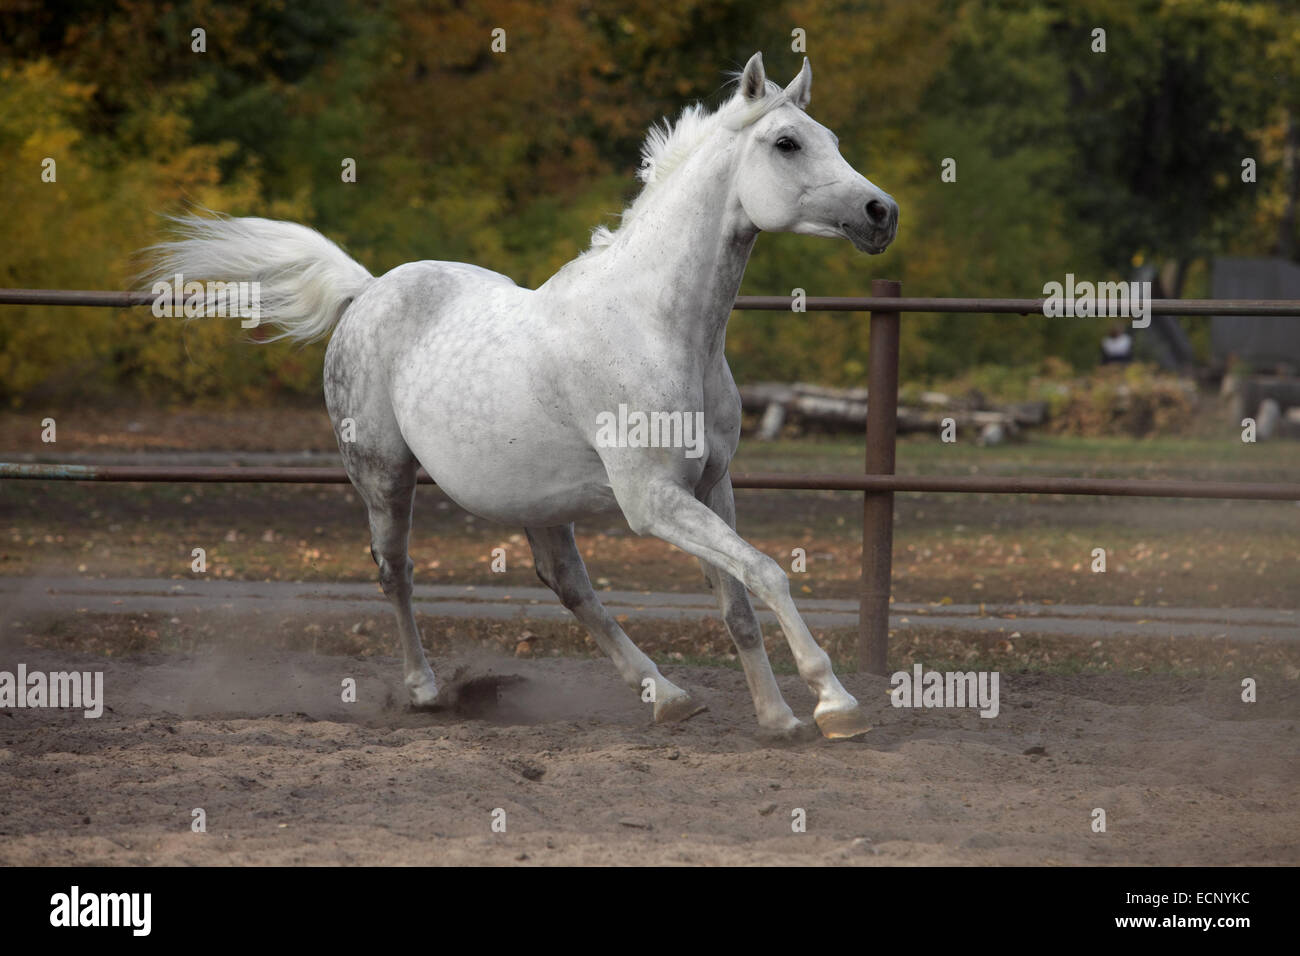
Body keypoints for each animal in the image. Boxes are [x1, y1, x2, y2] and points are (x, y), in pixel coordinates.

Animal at [147, 52, 898, 739]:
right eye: (787, 142)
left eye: (831, 137)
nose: (881, 212)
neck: (659, 328)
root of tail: (367, 291)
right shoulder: (652, 500)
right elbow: (768, 572)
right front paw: (835, 706)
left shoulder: (712, 484)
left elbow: (738, 600)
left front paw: (777, 718)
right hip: (384, 477)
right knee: (397, 573)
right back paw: (426, 691)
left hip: (537, 500)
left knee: (567, 585)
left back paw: (667, 696)